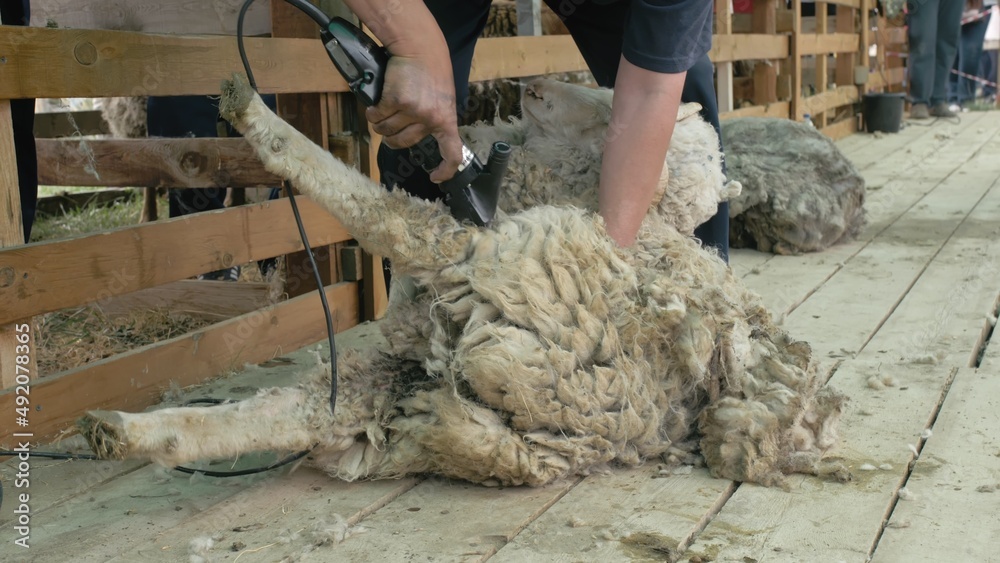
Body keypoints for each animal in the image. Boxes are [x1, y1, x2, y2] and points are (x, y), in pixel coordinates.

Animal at [78, 76, 848, 489]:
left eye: (601, 103)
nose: (532, 86)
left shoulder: (469, 252)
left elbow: (368, 201)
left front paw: (254, 117)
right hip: (408, 383)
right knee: (286, 415)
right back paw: (114, 430)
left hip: (486, 272)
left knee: (381, 214)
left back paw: (253, 113)